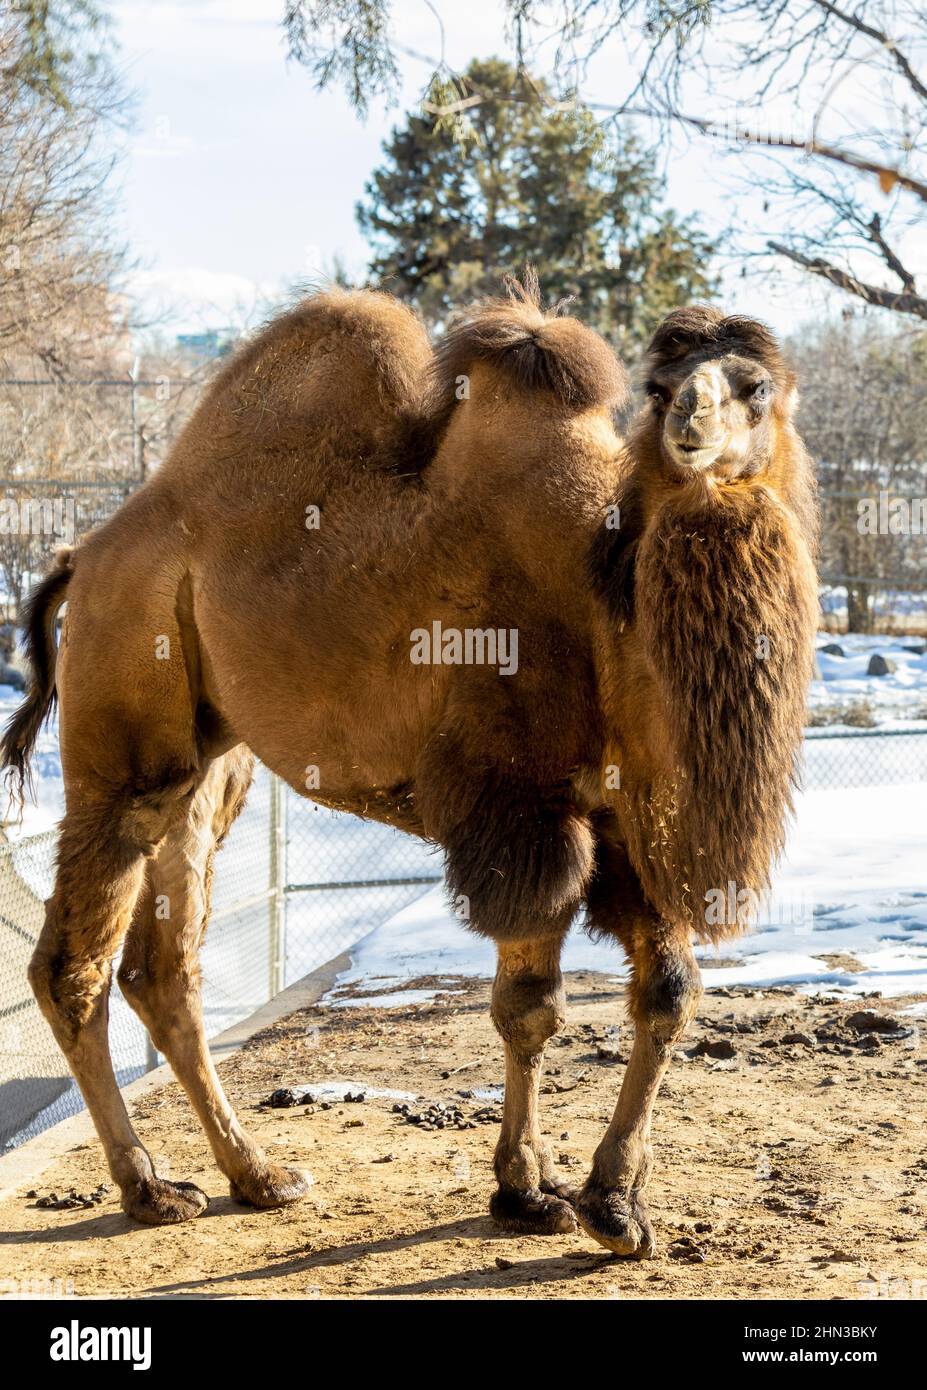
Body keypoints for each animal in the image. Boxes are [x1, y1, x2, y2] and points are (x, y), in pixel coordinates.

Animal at [1, 279, 818, 1255]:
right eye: (658, 390)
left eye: (755, 387)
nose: (690, 420)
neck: (606, 602)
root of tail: (82, 554)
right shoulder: (520, 804)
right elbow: (530, 1007)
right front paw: (525, 1193)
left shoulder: (626, 817)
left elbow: (668, 995)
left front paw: (615, 1202)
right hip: (124, 732)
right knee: (72, 964)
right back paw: (149, 1188)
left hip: (209, 769)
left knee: (164, 970)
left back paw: (258, 1175)